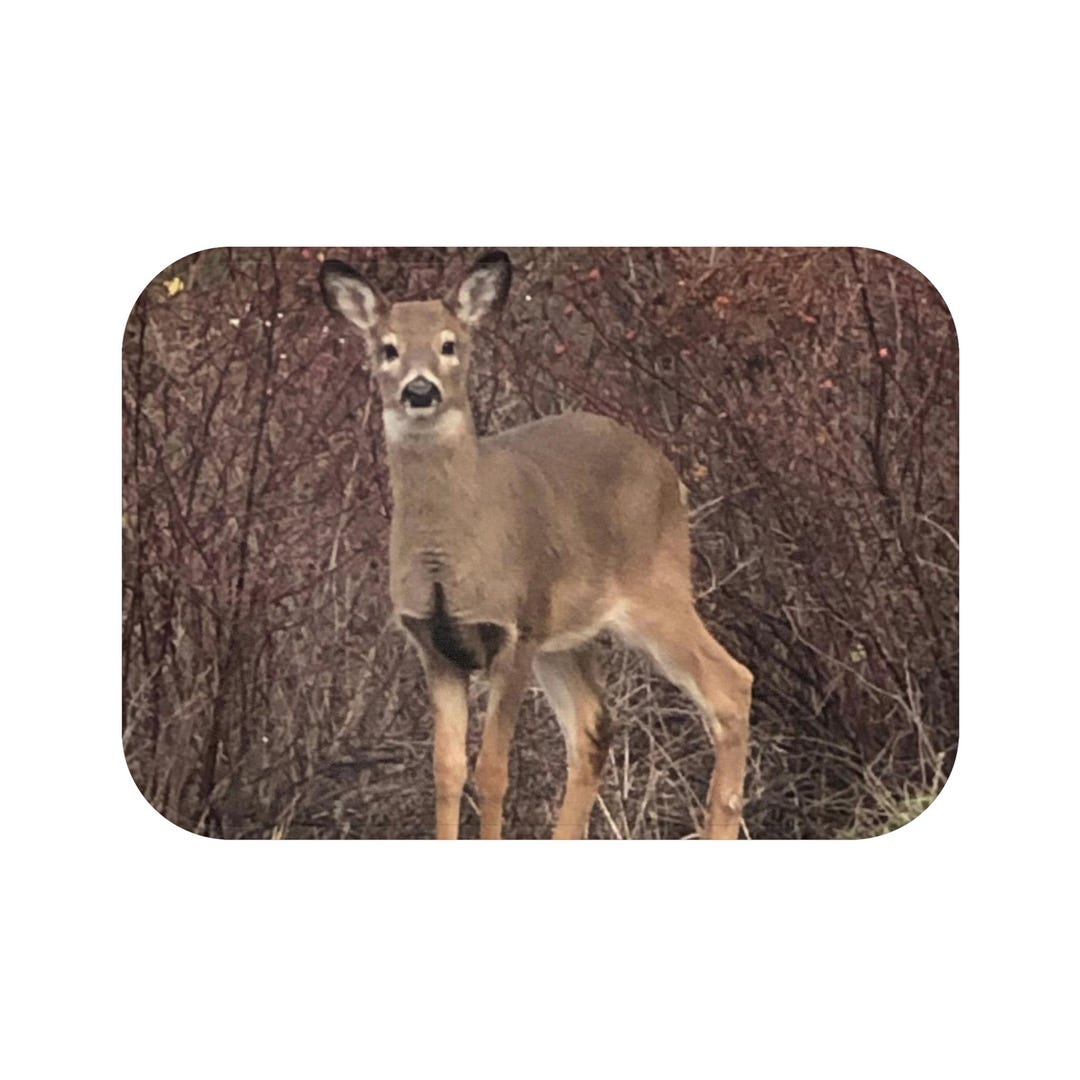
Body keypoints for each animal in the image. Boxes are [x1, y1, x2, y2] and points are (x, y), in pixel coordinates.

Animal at [319, 250, 753, 839]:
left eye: (449, 343)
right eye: (388, 347)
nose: (420, 391)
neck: (449, 558)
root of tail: (669, 471)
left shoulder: (514, 630)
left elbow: (492, 770)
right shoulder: (433, 645)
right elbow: (447, 770)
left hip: (655, 589)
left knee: (731, 684)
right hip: (565, 632)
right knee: (594, 726)